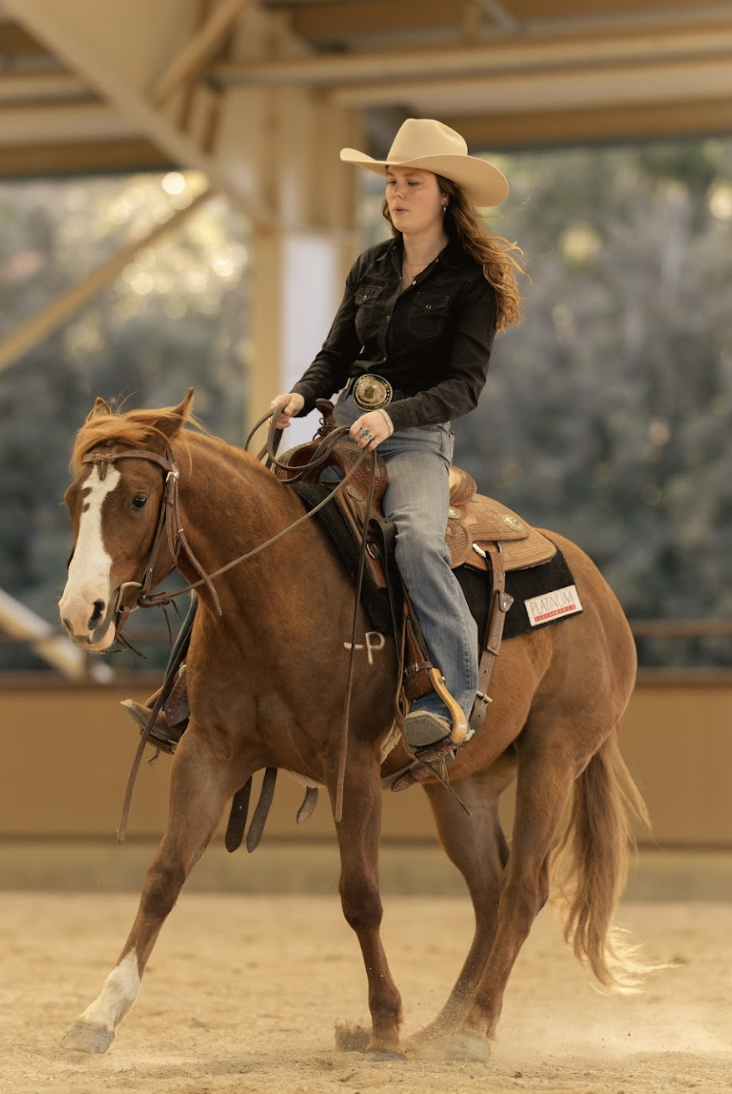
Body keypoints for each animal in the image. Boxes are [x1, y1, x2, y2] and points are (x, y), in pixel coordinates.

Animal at [58, 390, 651, 1064]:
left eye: (137, 499)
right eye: (74, 499)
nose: (80, 613)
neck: (277, 587)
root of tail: (599, 593)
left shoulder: (354, 765)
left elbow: (361, 897)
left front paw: (384, 1024)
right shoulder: (208, 753)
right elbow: (163, 878)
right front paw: (98, 1016)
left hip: (555, 755)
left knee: (525, 886)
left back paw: (474, 1029)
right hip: (466, 787)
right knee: (490, 891)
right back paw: (442, 1026)